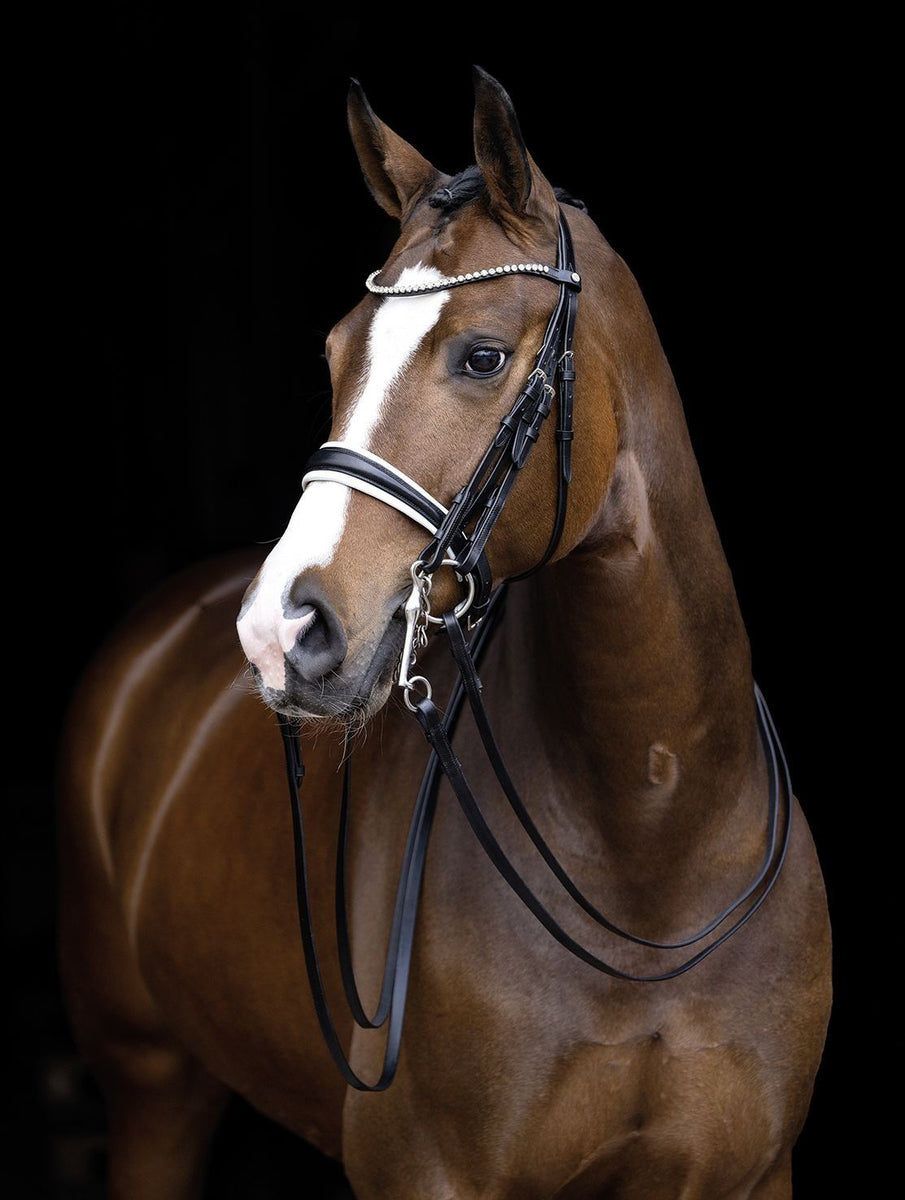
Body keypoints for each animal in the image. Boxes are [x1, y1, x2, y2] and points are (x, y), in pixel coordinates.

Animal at [57, 69, 832, 1199]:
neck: (655, 841)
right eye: (336, 352)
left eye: (481, 356)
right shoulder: (426, 1176)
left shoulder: (752, 1176)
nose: (279, 629)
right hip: (151, 1087)